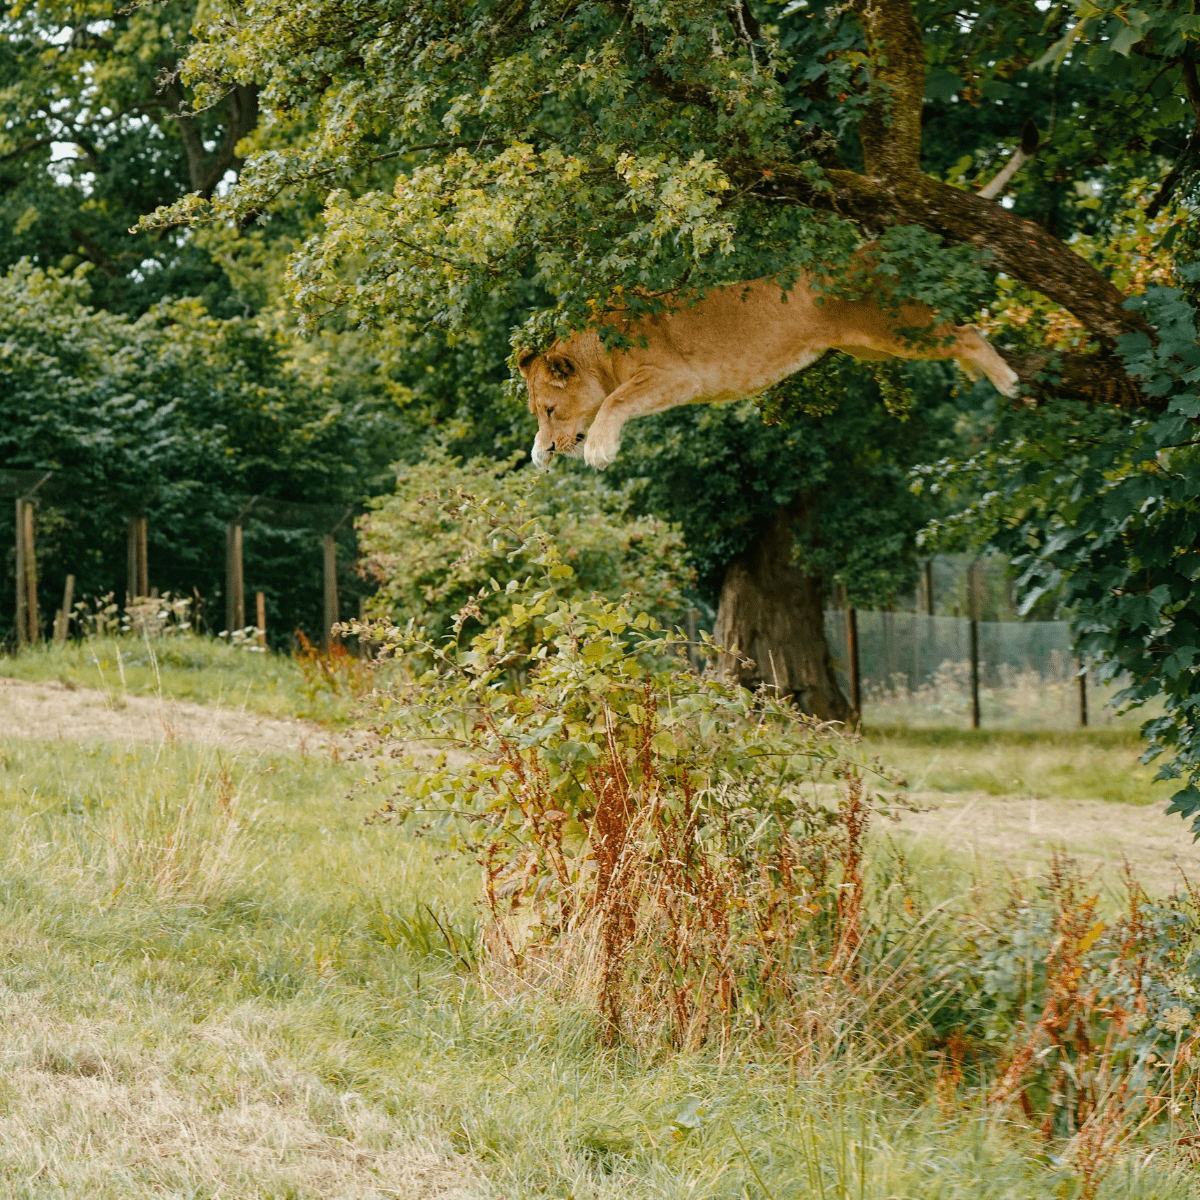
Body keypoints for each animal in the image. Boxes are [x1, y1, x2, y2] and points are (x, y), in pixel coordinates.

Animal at [518, 274, 1019, 470]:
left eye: (550, 408)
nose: (551, 445)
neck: (598, 346)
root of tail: (867, 255)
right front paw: (540, 452)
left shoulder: (678, 377)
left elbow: (615, 399)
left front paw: (598, 448)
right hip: (869, 346)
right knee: (952, 331)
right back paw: (975, 371)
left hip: (889, 329)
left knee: (967, 331)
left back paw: (1006, 379)